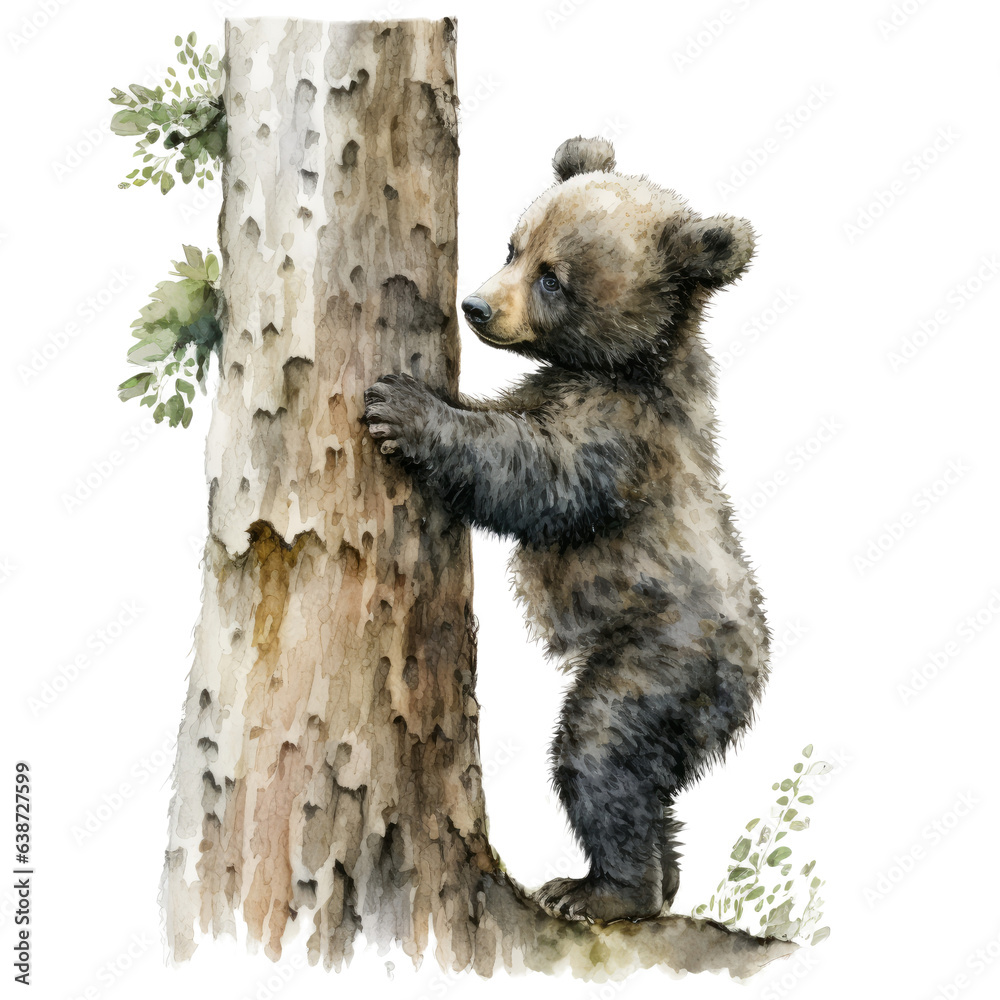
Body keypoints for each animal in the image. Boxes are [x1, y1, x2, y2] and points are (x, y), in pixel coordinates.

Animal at [363, 136, 769, 923]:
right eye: (513, 247)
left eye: (554, 279)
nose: (476, 305)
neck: (630, 361)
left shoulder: (622, 437)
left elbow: (533, 473)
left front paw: (404, 407)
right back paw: (665, 876)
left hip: (669, 655)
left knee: (602, 749)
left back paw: (607, 891)